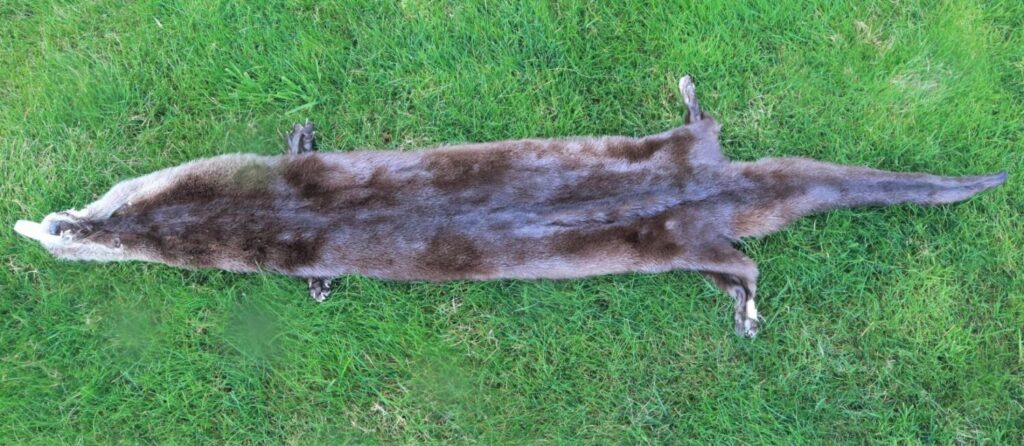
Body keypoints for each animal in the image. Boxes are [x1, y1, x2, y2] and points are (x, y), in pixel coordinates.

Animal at [14, 75, 1007, 337]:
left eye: (95, 210)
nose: (57, 225)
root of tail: (714, 185)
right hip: (682, 182)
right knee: (712, 154)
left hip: (681, 234)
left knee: (745, 258)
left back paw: (747, 313)